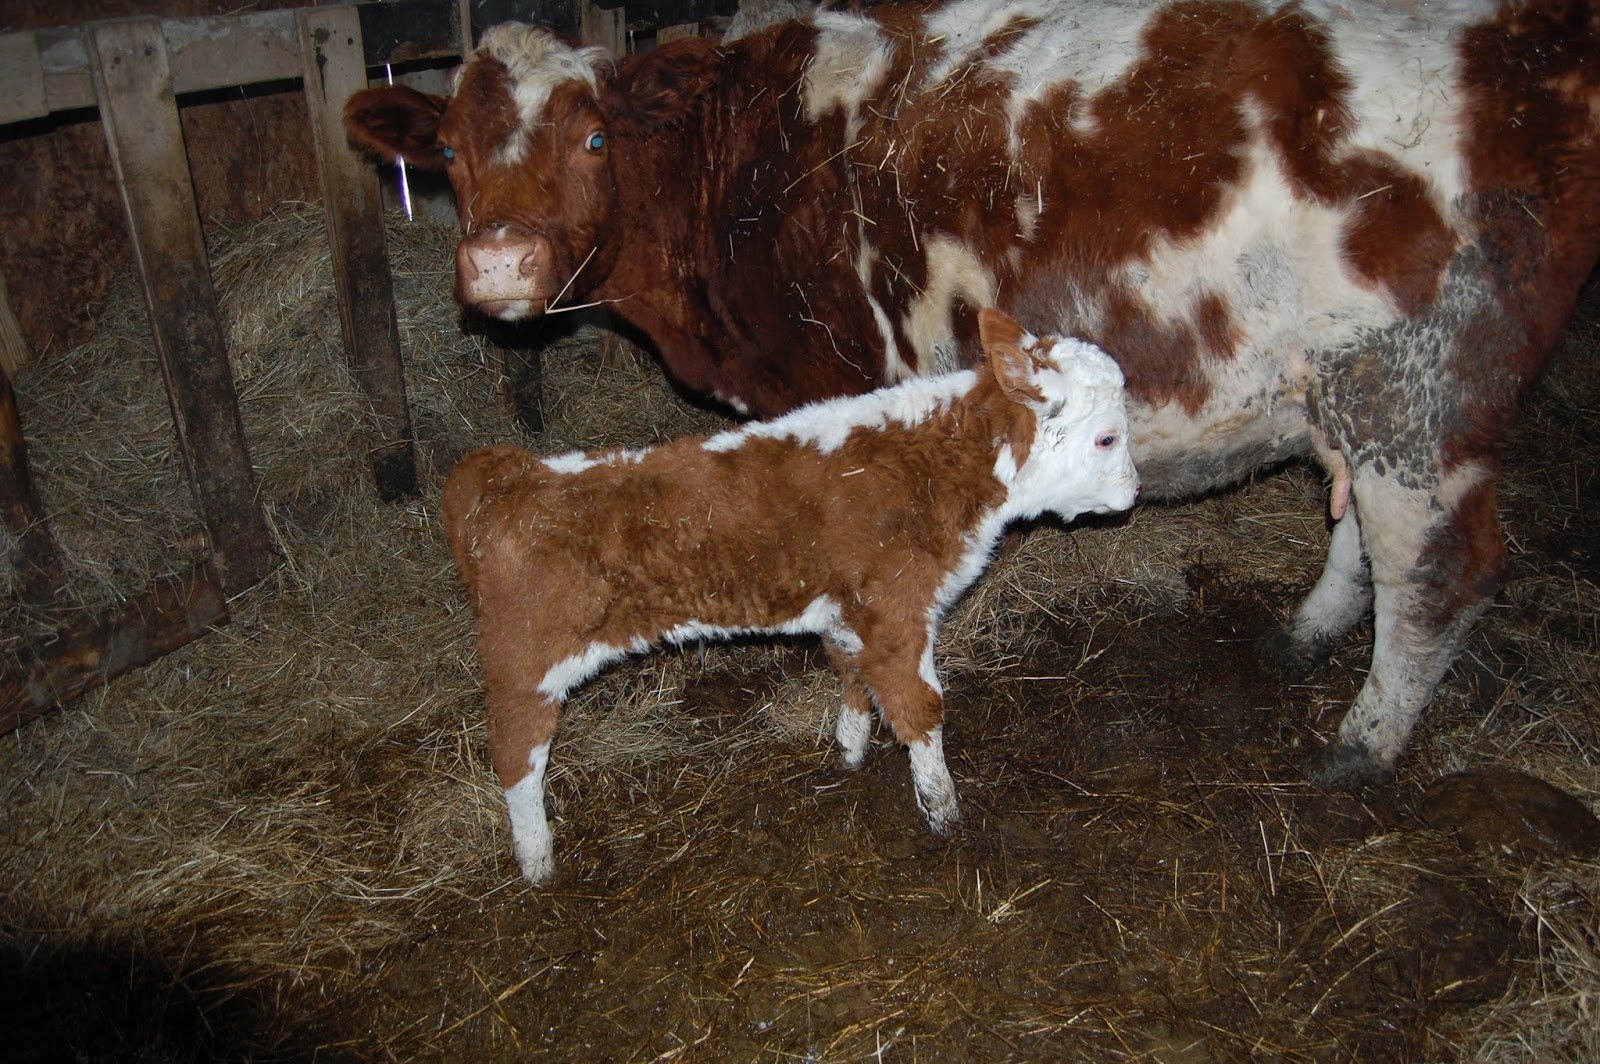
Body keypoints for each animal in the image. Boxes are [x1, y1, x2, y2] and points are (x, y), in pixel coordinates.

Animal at [346, 0, 1600, 787]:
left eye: (595, 135)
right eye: (448, 150)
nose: (496, 264)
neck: (749, 165)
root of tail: (1517, 37)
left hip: (1418, 391)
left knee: (1439, 571)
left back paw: (1360, 745)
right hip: (1354, 390)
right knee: (1362, 529)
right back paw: (1305, 632)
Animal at [442, 308, 1138, 884]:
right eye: (1107, 437)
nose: (1135, 490)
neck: (936, 469)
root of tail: (512, 478)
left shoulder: (853, 615)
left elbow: (854, 678)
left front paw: (850, 752)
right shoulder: (899, 614)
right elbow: (921, 711)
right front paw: (944, 813)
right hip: (525, 667)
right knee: (515, 756)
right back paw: (537, 863)